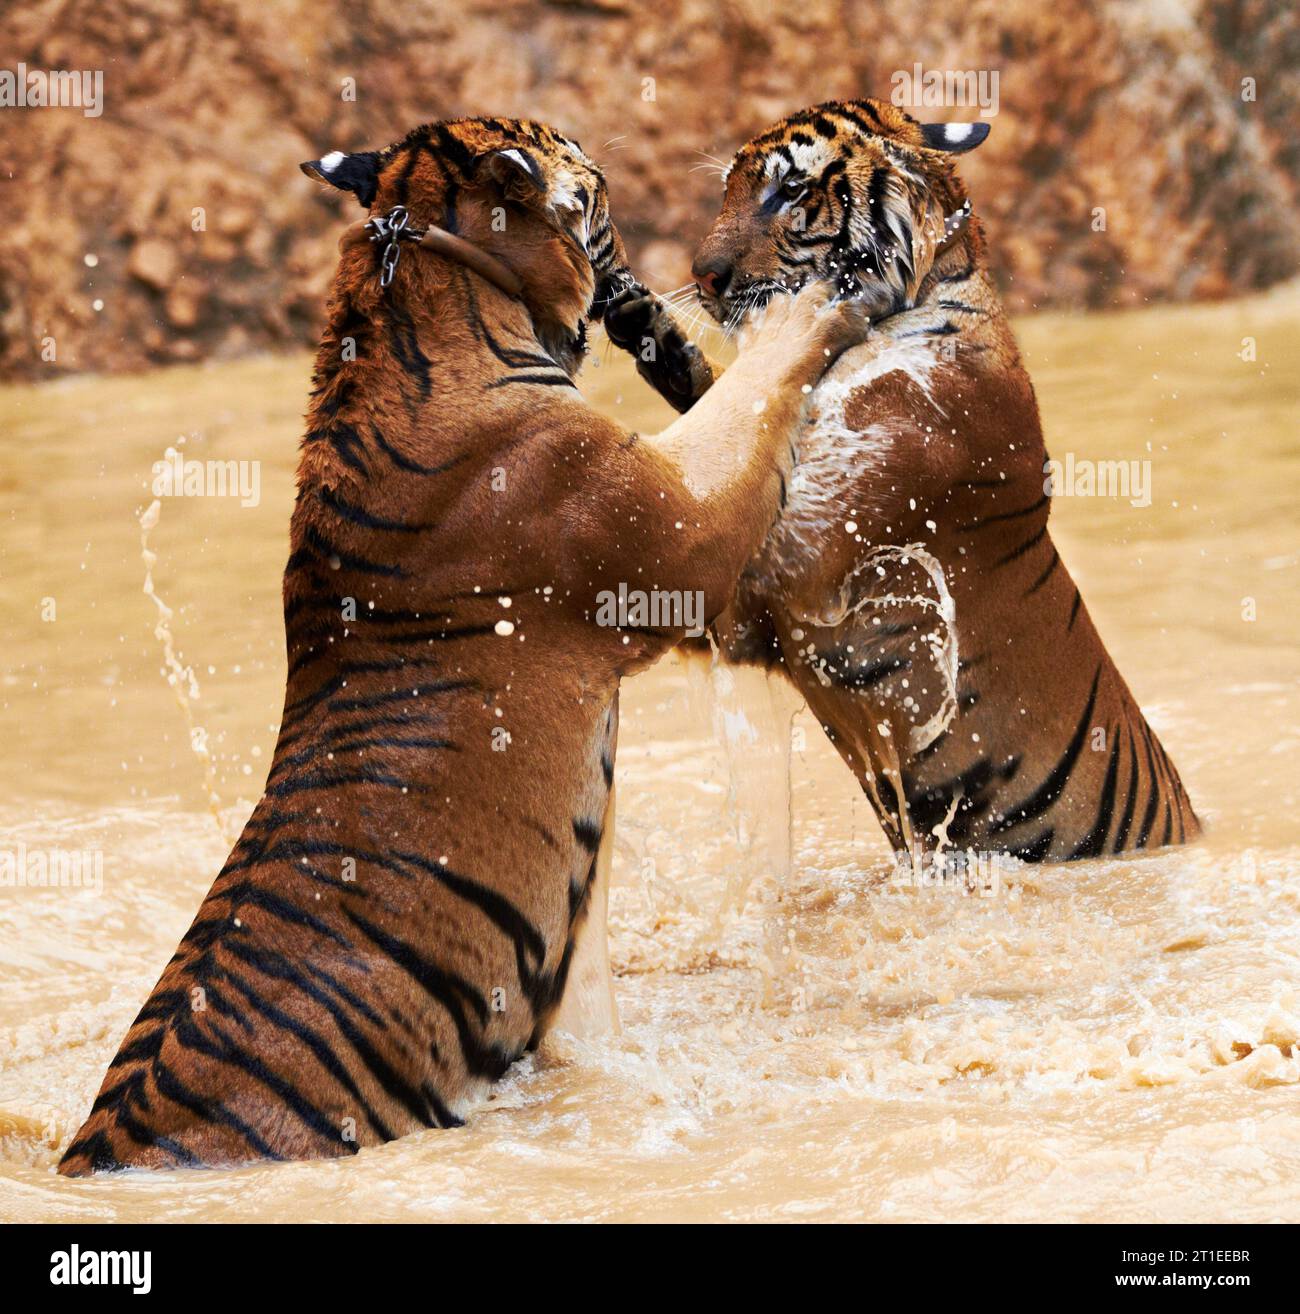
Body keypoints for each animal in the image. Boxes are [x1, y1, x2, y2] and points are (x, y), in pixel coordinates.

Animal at [58, 116, 866, 1174]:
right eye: (593, 181)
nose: (647, 254)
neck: (431, 286)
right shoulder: (674, 531)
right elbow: (755, 398)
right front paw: (821, 301)